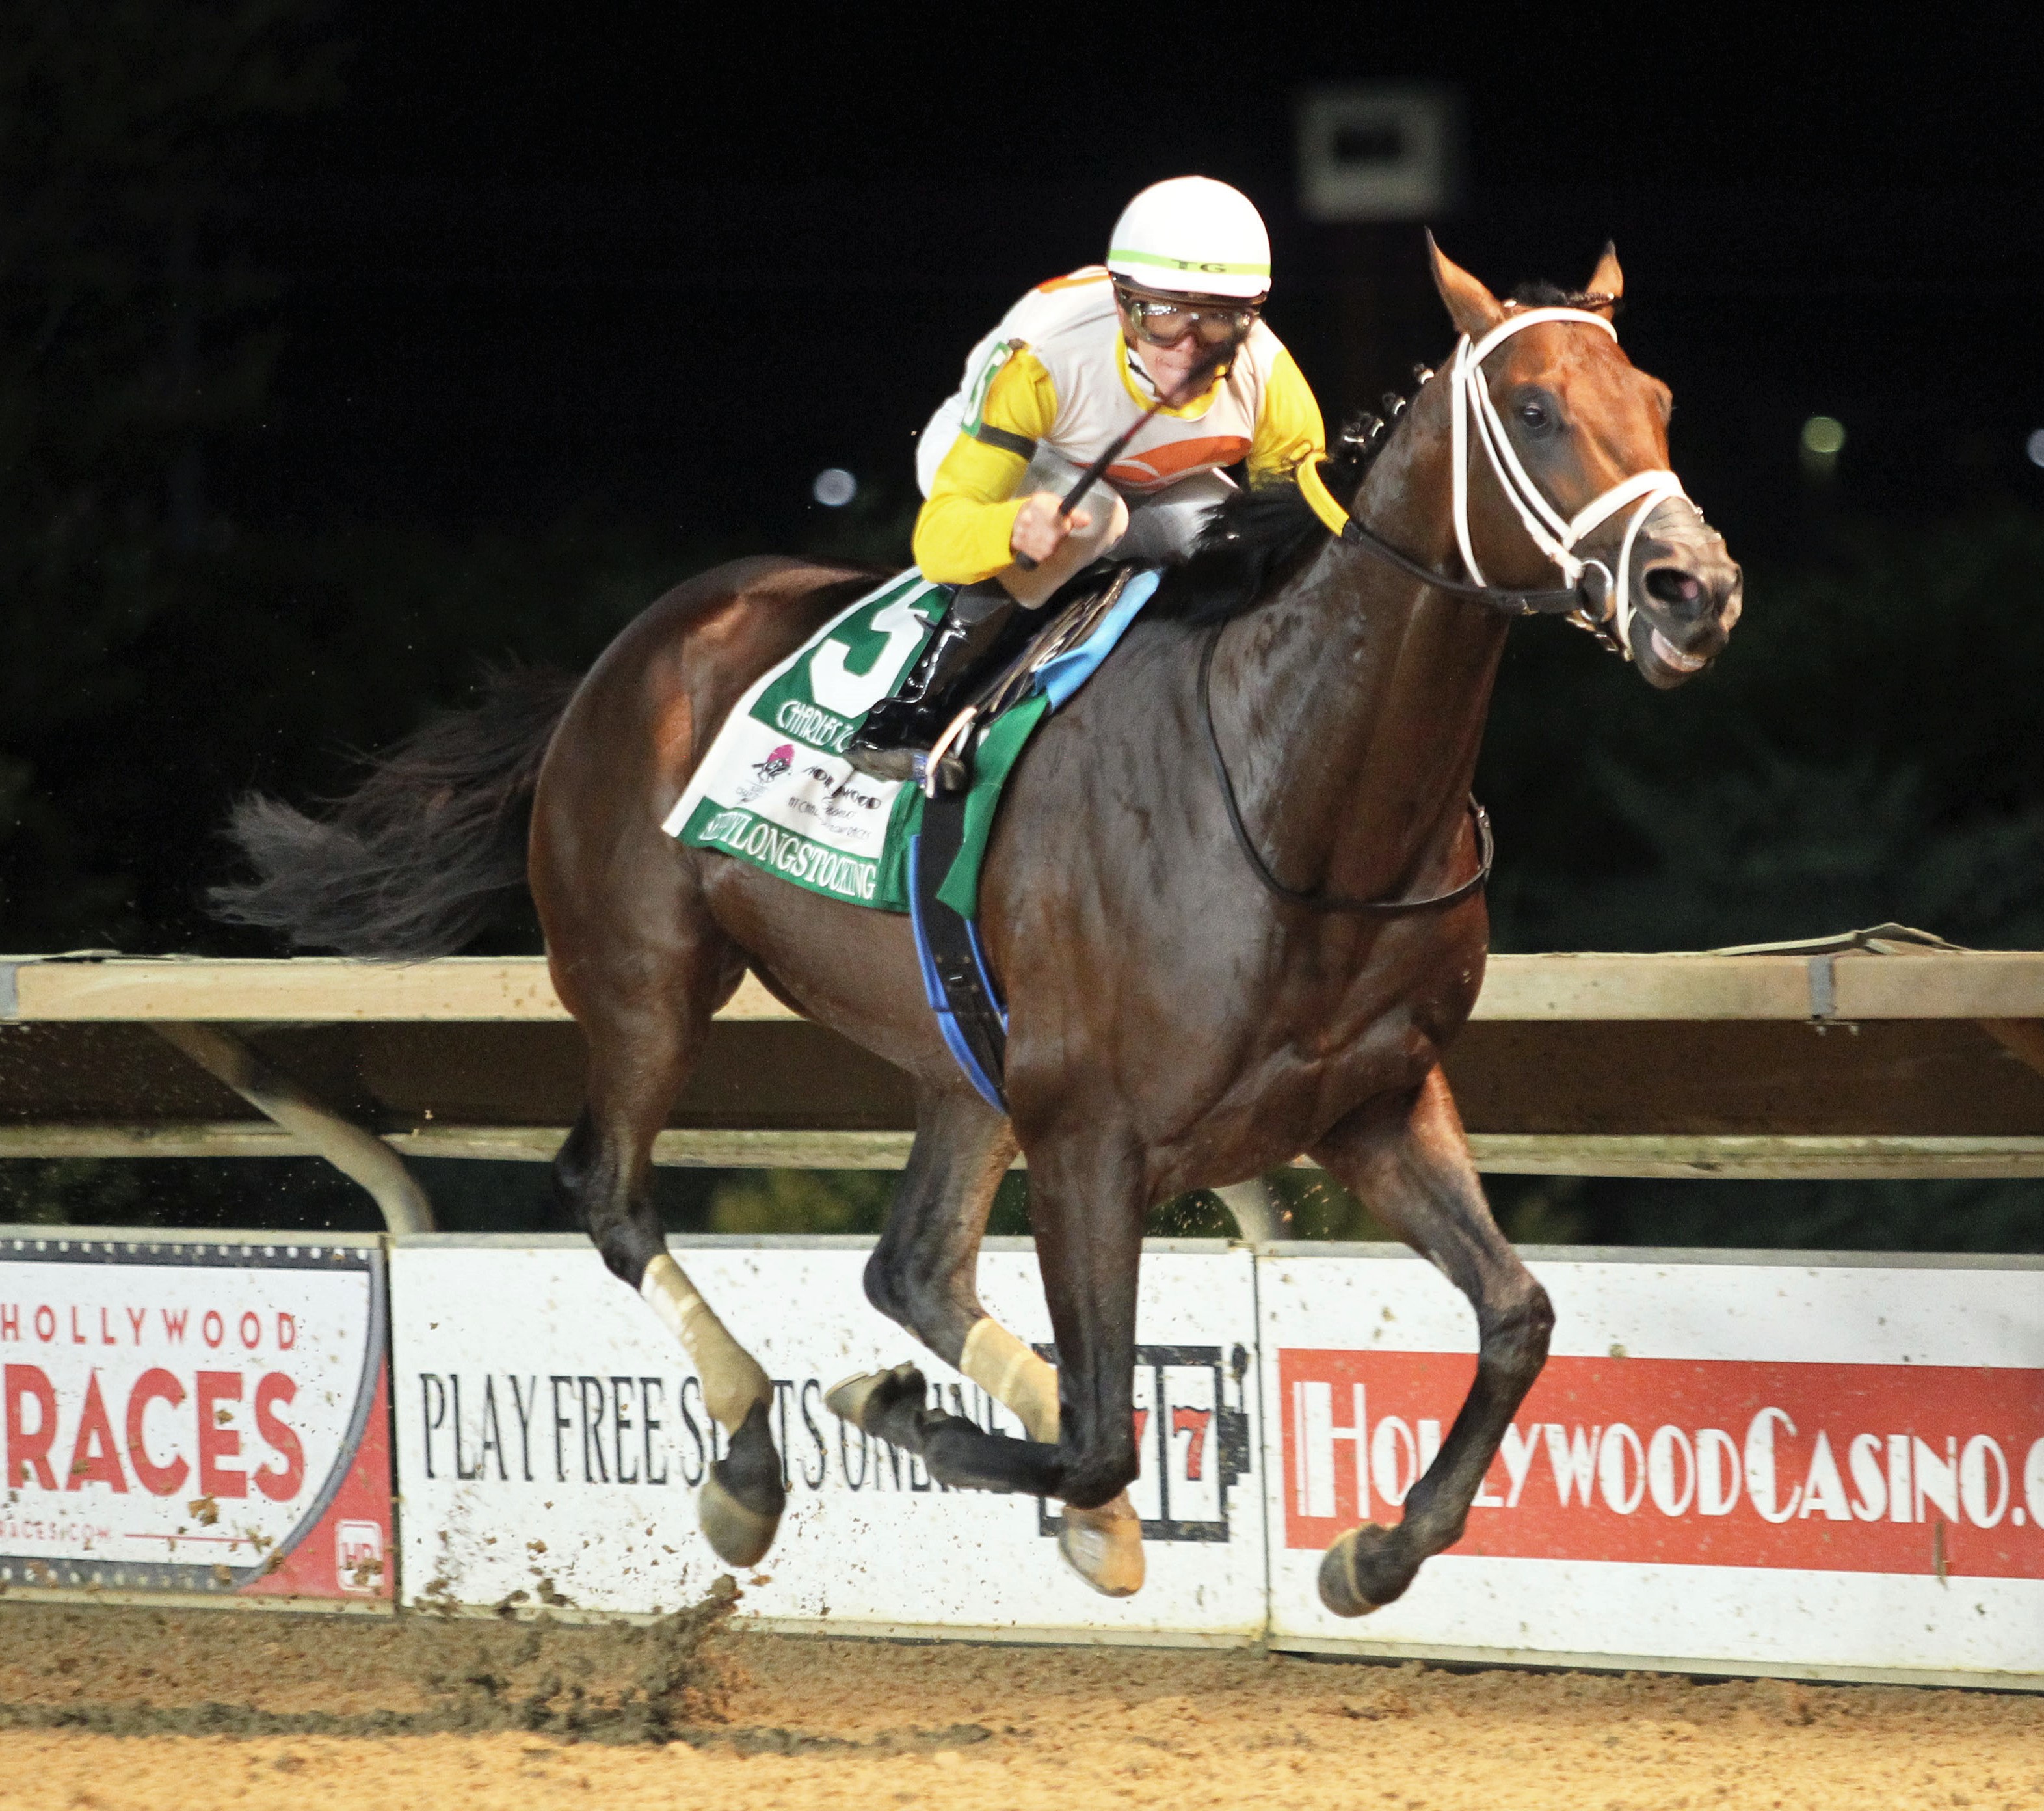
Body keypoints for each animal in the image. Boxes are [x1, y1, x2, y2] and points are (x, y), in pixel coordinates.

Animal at [214, 239, 1741, 1617]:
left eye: (1656, 397)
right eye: (1533, 408)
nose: (1693, 587)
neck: (1294, 787)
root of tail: (619, 658)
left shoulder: (1371, 1099)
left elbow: (1516, 1316)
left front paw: (1369, 1553)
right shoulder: (1090, 1132)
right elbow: (1101, 1432)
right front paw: (907, 1418)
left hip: (960, 1049)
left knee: (912, 1263)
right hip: (647, 979)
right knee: (610, 1189)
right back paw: (750, 1465)